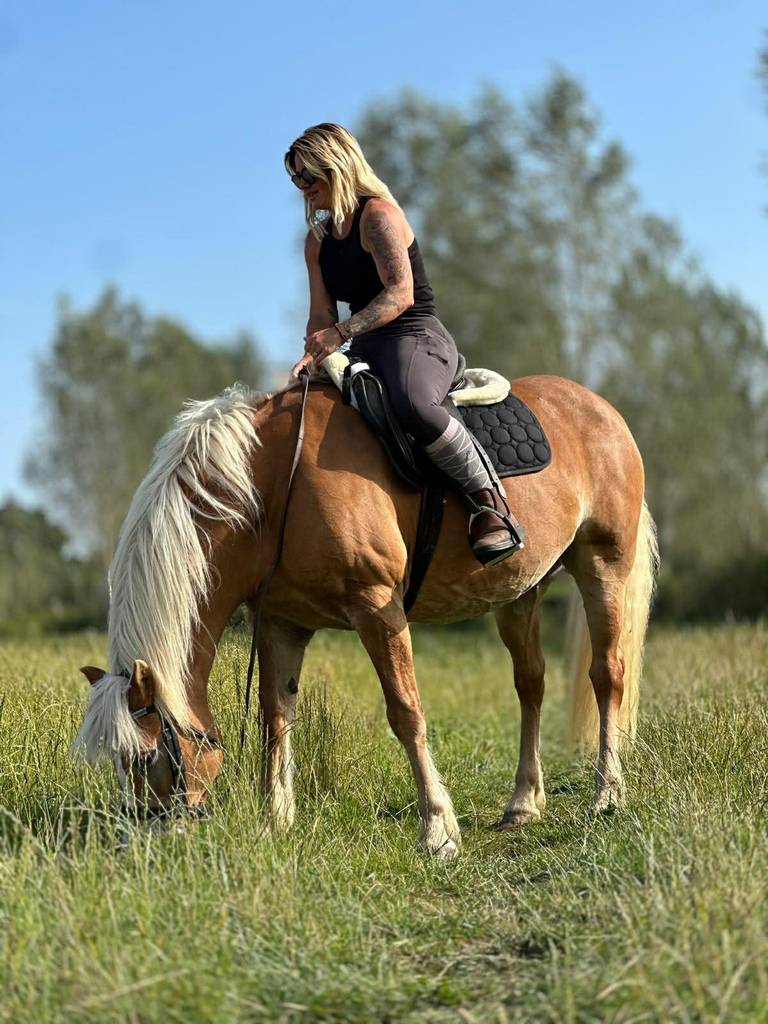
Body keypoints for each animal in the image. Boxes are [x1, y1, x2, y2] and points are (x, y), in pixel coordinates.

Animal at [75, 373, 658, 859]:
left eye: (146, 758)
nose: (137, 845)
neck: (270, 486)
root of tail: (600, 409)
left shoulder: (377, 606)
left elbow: (406, 712)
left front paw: (438, 829)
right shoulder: (281, 623)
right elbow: (275, 719)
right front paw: (275, 822)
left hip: (602, 567)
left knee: (608, 675)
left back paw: (607, 795)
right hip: (519, 593)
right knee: (530, 685)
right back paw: (522, 803)